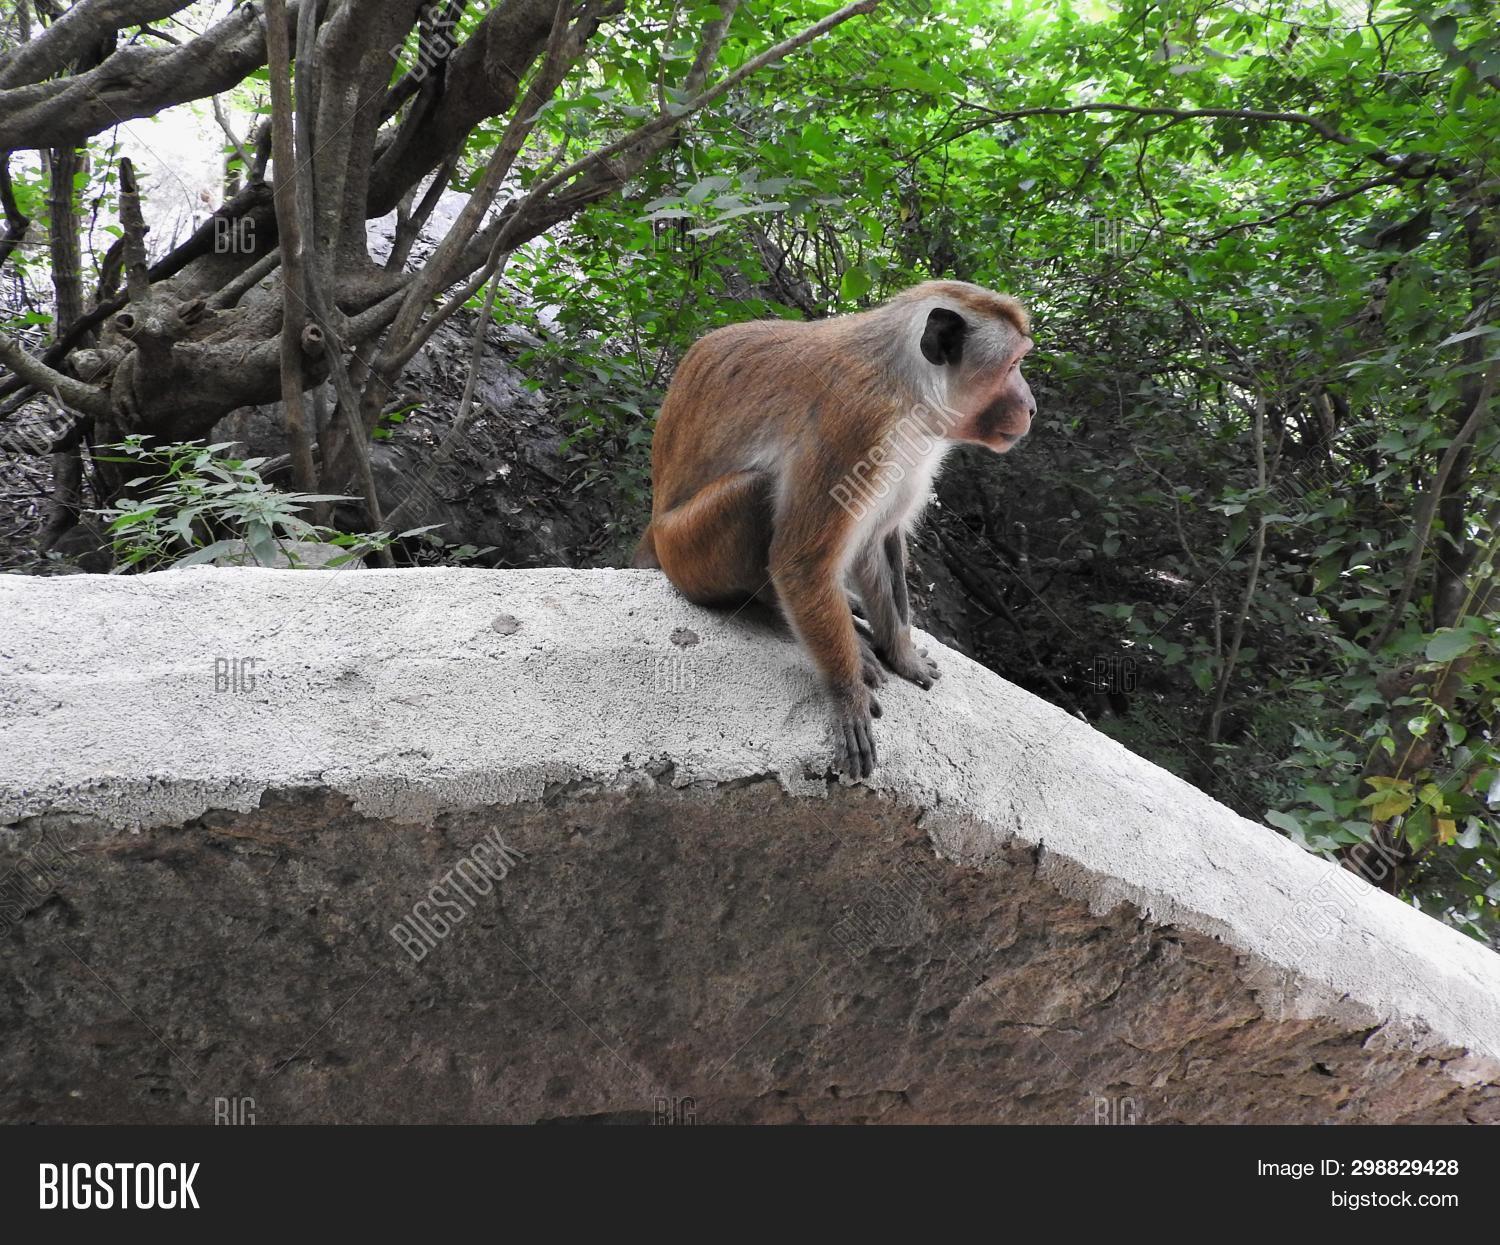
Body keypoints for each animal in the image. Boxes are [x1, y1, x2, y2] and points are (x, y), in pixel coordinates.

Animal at [634, 280, 1036, 778]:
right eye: (1013, 365)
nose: (1031, 406)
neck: (909, 388)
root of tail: (654, 534)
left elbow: (880, 540)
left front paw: (901, 652)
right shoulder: (856, 425)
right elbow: (800, 562)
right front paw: (847, 696)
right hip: (686, 553)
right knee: (759, 493)